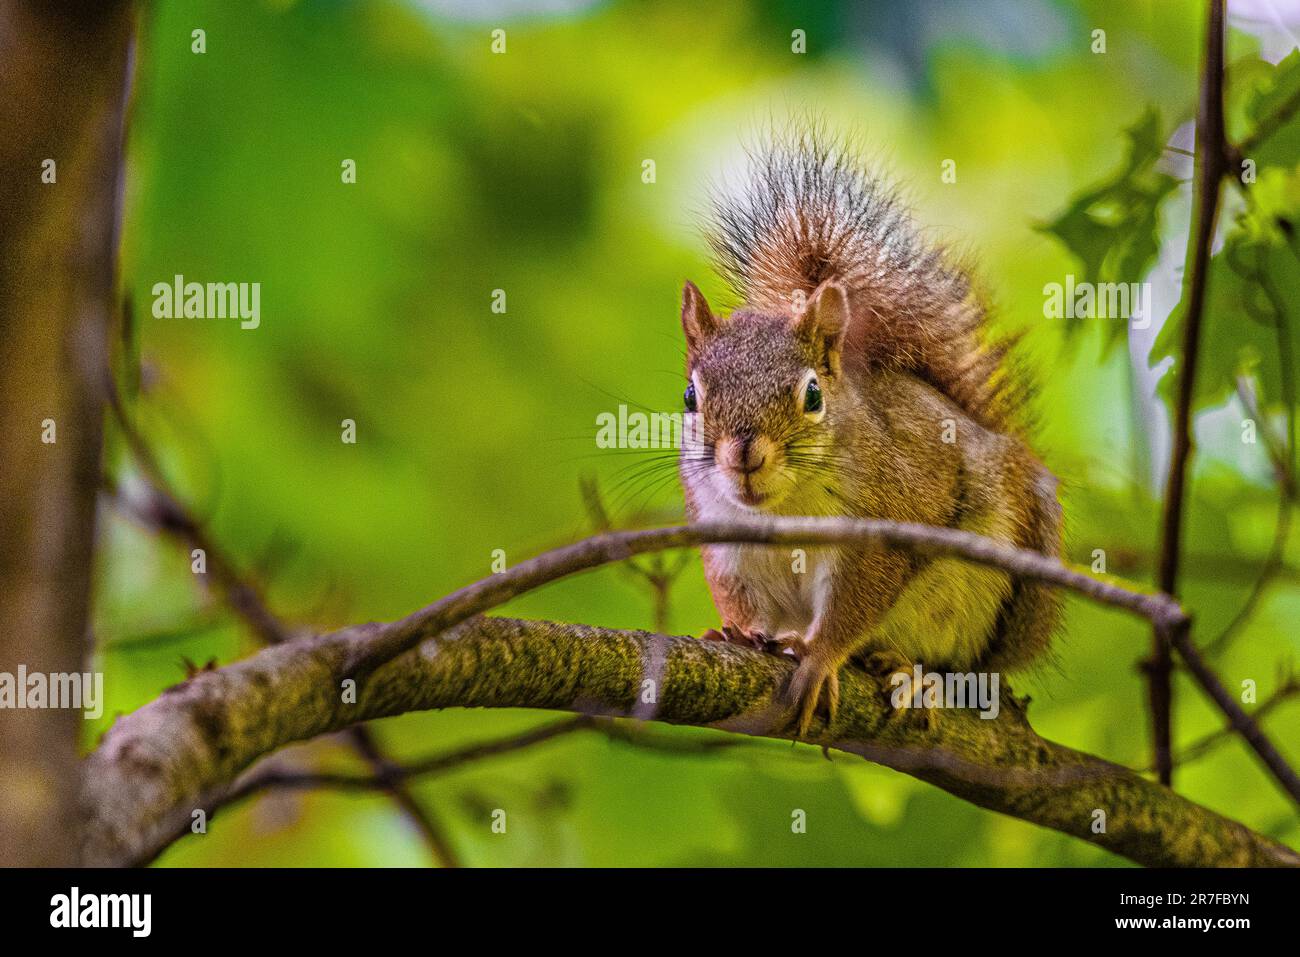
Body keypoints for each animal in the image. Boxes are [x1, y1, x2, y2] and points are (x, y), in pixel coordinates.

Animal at [677, 127, 1063, 735]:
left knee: (969, 667)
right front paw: (736, 633)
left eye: (813, 396)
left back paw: (913, 673)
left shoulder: (884, 528)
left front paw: (819, 658)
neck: (783, 509)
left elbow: (854, 606)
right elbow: (740, 600)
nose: (743, 455)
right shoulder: (725, 544)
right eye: (691, 397)